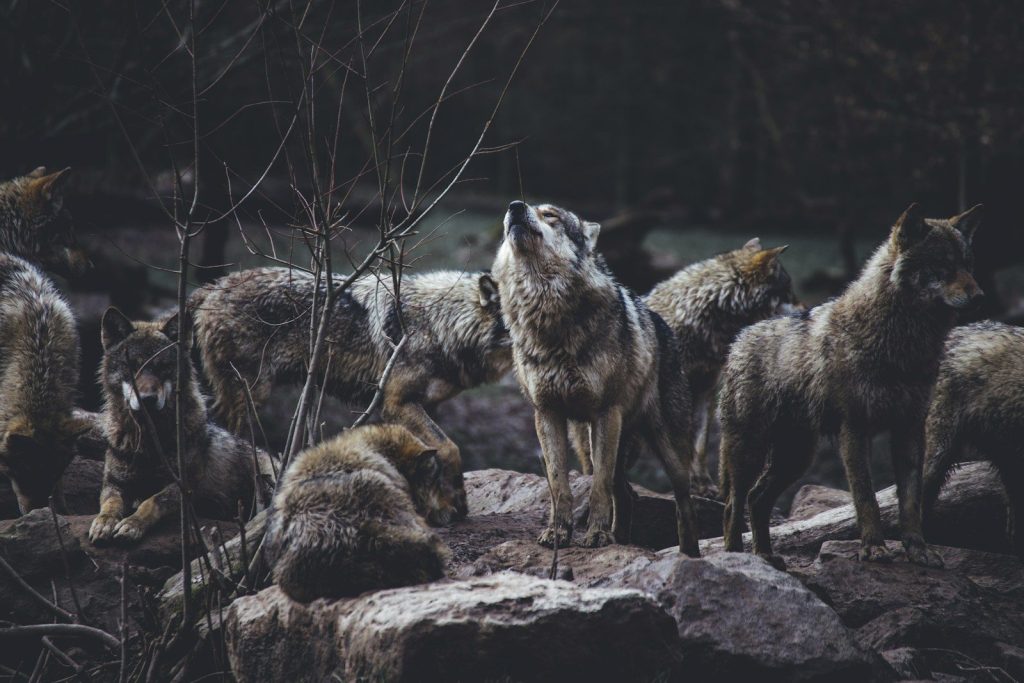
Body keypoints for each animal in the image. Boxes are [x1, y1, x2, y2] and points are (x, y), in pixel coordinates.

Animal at [88, 307, 276, 544]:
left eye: (164, 367)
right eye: (133, 366)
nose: (147, 399)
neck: (150, 442)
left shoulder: (184, 486)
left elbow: (151, 502)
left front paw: (132, 524)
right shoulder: (114, 483)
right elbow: (110, 504)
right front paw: (104, 522)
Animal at [190, 267, 512, 523]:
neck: (440, 323)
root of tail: (212, 286)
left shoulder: (428, 405)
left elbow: (434, 456)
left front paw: (443, 505)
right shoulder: (397, 402)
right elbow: (450, 448)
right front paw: (456, 503)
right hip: (250, 396)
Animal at [492, 200, 698, 555]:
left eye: (550, 215)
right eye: (519, 209)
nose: (515, 207)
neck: (547, 315)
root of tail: (663, 325)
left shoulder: (605, 412)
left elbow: (598, 487)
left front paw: (598, 535)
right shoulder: (547, 414)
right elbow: (558, 485)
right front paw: (558, 533)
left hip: (666, 450)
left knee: (683, 504)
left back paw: (689, 555)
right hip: (593, 441)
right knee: (627, 494)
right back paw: (623, 540)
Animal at [719, 204, 983, 568]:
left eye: (968, 265)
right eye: (943, 266)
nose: (979, 296)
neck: (902, 344)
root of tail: (740, 337)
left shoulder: (910, 429)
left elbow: (911, 502)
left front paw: (918, 550)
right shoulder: (854, 429)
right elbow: (866, 497)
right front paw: (873, 548)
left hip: (796, 457)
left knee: (757, 498)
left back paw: (766, 557)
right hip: (750, 450)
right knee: (734, 502)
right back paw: (737, 557)